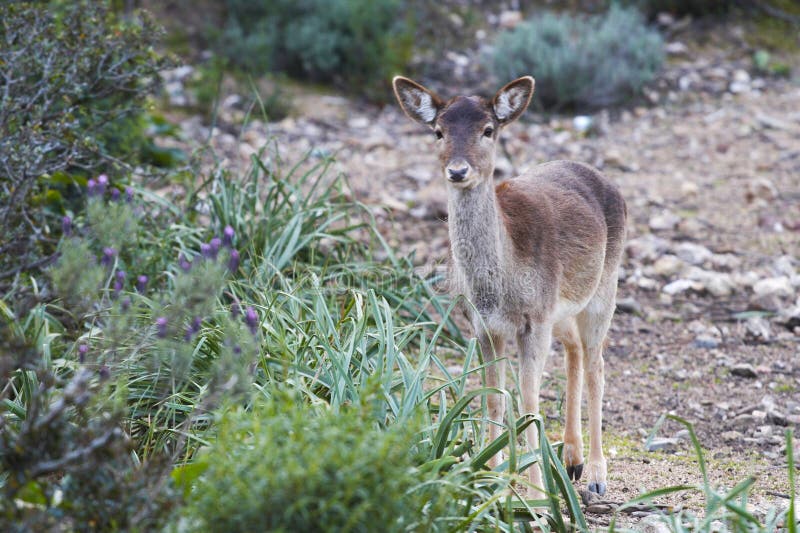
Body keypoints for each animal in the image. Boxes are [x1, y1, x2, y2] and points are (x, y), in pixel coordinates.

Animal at [392, 75, 626, 497]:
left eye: (488, 130)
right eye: (438, 131)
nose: (458, 170)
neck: (498, 291)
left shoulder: (534, 321)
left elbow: (529, 403)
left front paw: (536, 495)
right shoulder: (484, 325)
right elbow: (494, 400)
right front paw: (491, 480)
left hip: (604, 288)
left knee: (597, 364)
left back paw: (597, 476)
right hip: (562, 309)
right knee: (574, 351)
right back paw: (572, 461)